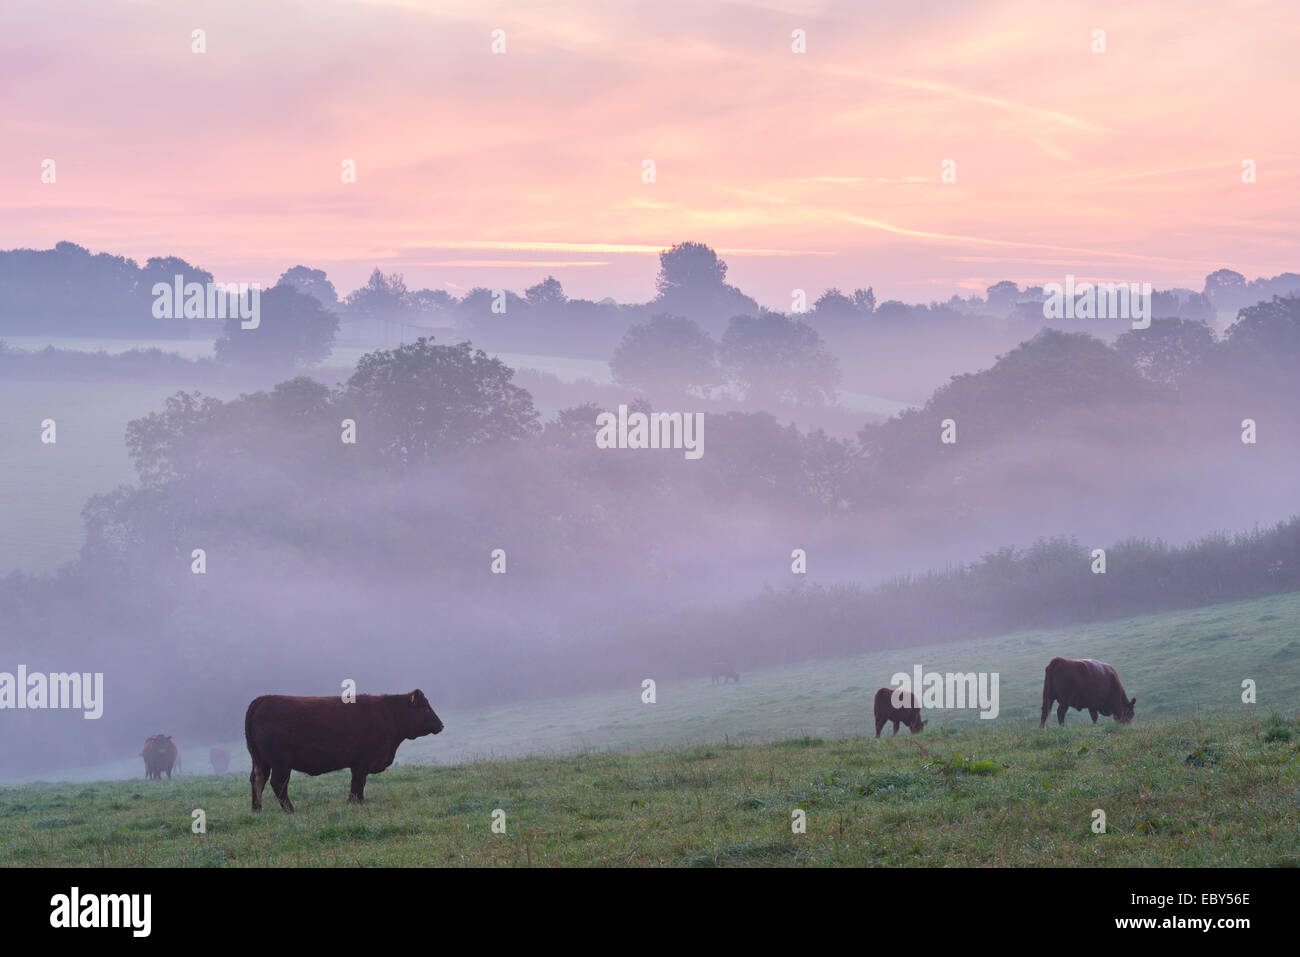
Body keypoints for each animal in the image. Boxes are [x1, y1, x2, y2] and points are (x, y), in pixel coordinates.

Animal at [244, 689, 444, 812]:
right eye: (426, 707)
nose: (441, 725)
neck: (389, 713)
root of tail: (262, 699)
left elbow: (359, 784)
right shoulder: (362, 762)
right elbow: (357, 784)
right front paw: (355, 803)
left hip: (260, 760)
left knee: (257, 779)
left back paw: (257, 809)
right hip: (281, 762)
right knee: (278, 783)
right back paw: (290, 810)